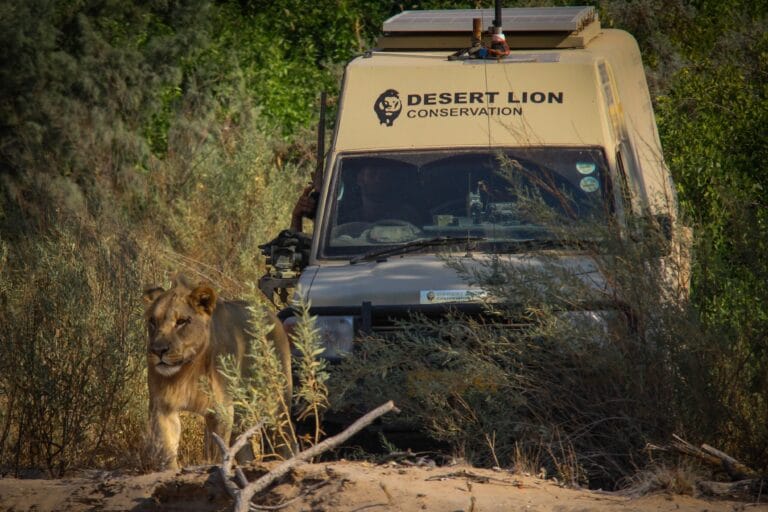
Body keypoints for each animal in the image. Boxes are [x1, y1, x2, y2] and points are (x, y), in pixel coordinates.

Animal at [142, 274, 292, 470]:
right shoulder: (162, 408)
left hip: (276, 400)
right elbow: (166, 453)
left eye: (181, 321)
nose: (158, 350)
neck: (187, 370)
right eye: (152, 322)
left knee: (284, 437)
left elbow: (216, 451)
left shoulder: (221, 410)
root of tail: (269, 312)